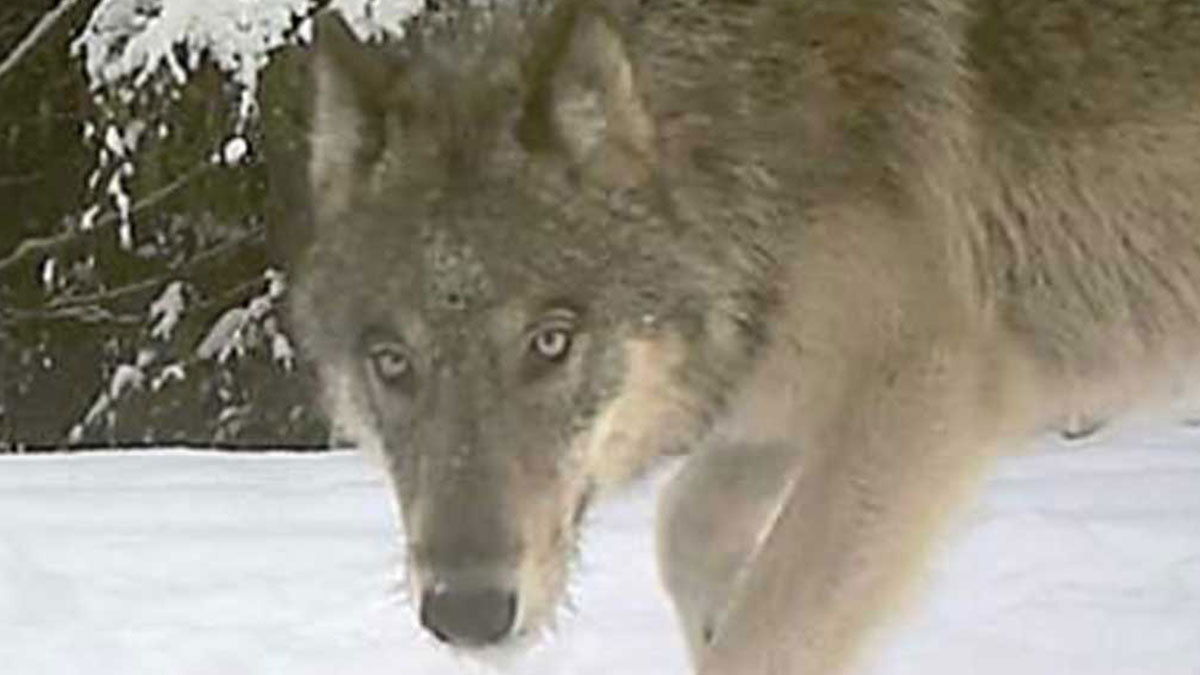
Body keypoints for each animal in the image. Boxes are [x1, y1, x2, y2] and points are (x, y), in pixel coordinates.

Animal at [281, 0, 1200, 672]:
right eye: (391, 361)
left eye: (550, 340)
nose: (466, 611)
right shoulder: (786, 390)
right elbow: (685, 526)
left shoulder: (920, 387)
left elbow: (768, 627)